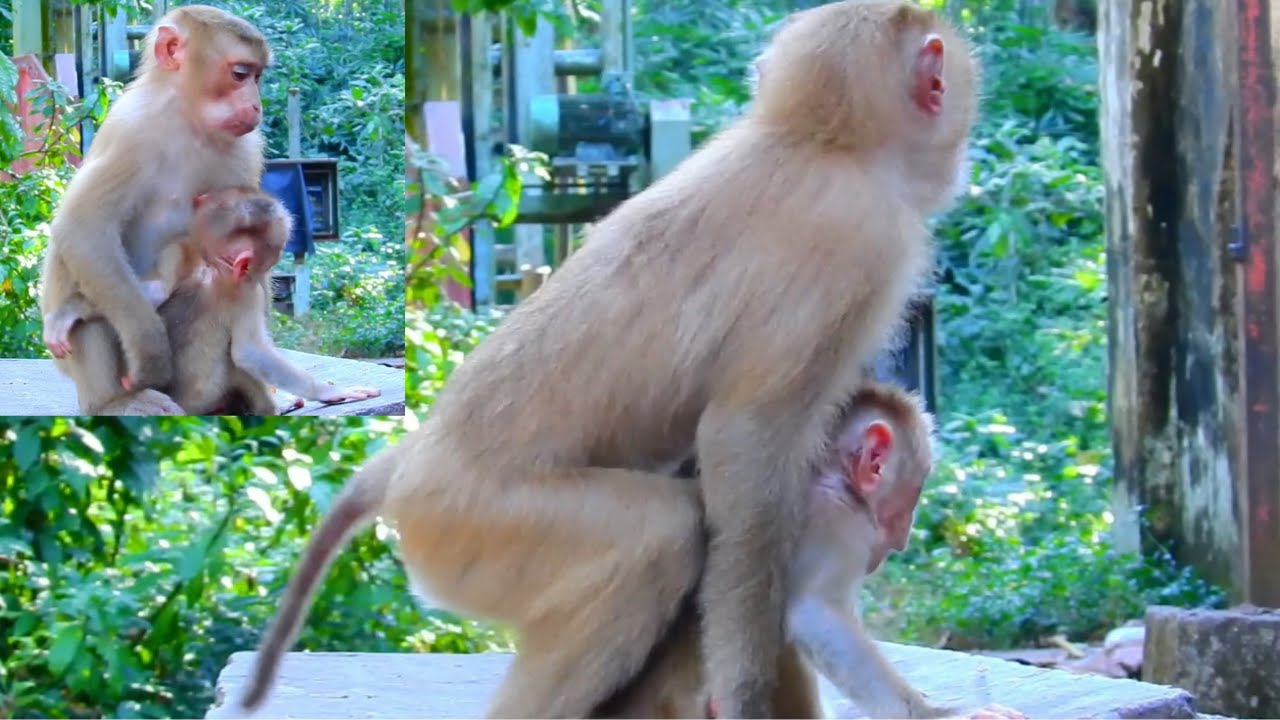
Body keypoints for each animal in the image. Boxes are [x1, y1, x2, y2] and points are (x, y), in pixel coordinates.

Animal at [38, 5, 270, 415]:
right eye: (240, 74)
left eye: (257, 76)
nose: (256, 104)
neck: (187, 118)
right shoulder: (132, 130)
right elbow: (83, 228)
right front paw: (150, 354)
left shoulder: (245, 148)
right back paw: (114, 401)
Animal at [152, 187, 382, 415]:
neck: (211, 265)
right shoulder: (249, 293)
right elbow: (249, 352)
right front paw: (329, 391)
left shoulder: (175, 252)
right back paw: (276, 407)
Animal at [234, 2, 978, 716]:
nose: (898, 540)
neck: (817, 142)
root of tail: (413, 458)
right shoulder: (867, 248)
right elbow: (745, 442)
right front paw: (750, 699)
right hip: (474, 527)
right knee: (658, 536)